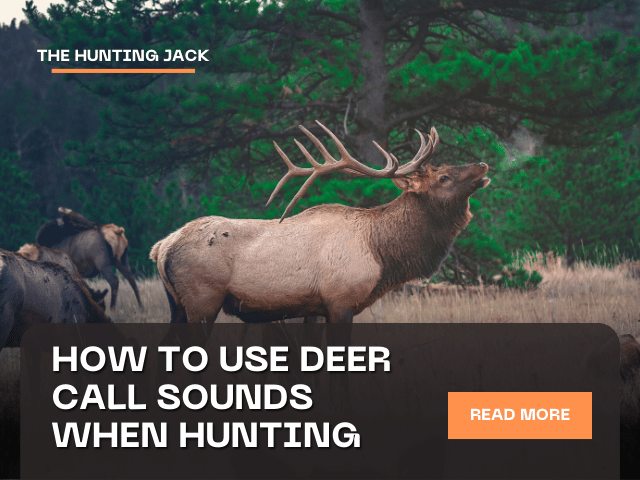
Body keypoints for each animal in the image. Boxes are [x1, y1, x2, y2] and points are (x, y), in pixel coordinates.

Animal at [150, 121, 491, 325]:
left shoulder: (313, 308)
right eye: (444, 177)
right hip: (202, 300)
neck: (381, 253)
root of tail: (162, 247)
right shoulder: (340, 301)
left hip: (177, 306)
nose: (483, 164)